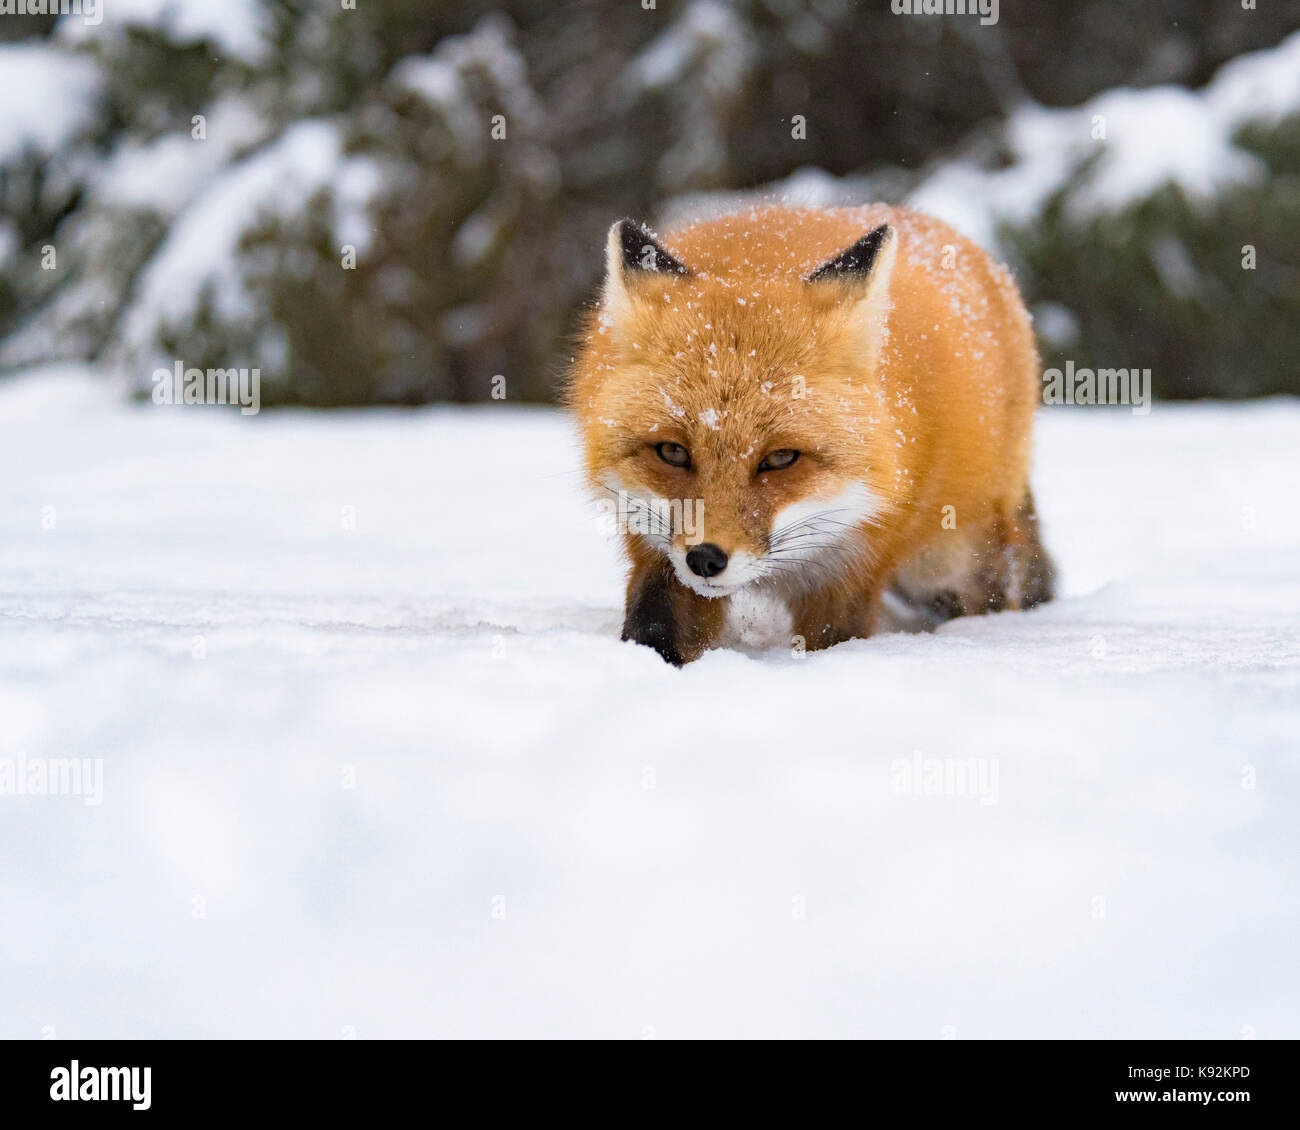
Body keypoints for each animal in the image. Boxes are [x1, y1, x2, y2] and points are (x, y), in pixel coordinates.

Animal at [568, 204, 1055, 665]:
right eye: (672, 451)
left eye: (781, 459)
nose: (705, 558)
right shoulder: (658, 553)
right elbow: (654, 632)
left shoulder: (851, 566)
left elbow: (832, 640)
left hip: (947, 563)